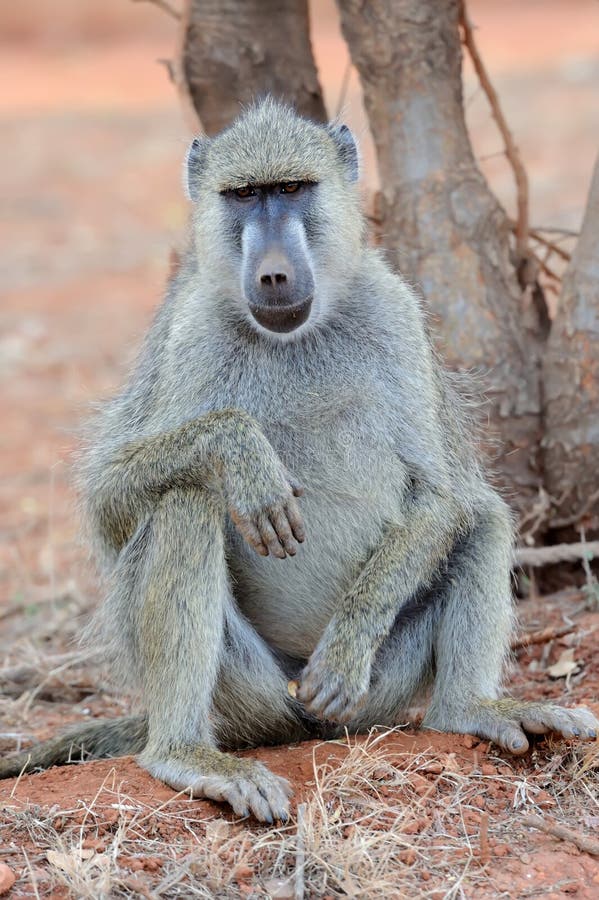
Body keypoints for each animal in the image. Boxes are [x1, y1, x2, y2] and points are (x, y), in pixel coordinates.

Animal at [1, 98, 596, 823]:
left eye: (291, 189)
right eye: (243, 196)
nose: (274, 273)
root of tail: (300, 719)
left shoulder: (396, 312)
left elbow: (443, 493)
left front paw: (345, 645)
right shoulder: (188, 328)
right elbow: (109, 496)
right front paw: (241, 451)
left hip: (377, 693)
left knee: (483, 517)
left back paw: (468, 709)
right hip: (250, 694)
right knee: (185, 501)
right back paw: (184, 753)